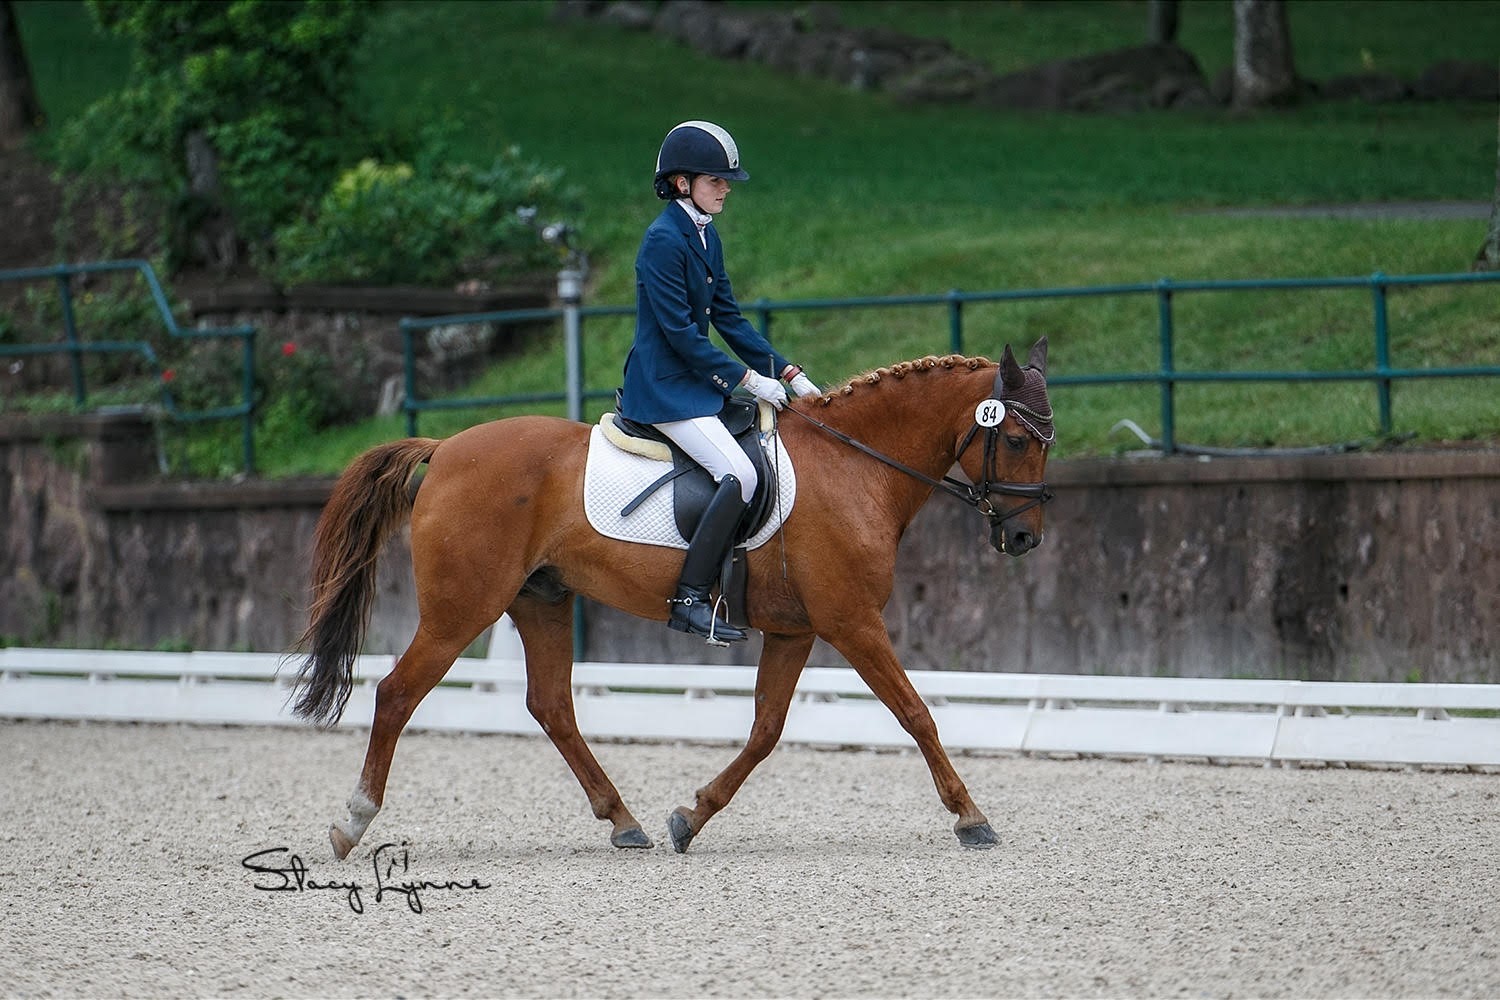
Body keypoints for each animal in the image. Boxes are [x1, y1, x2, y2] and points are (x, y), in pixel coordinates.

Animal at [289, 338, 1054, 859]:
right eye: (1017, 438)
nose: (1024, 537)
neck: (855, 464)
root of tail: (445, 447)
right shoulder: (852, 622)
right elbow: (916, 714)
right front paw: (972, 817)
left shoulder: (797, 630)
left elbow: (766, 730)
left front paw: (691, 817)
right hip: (462, 610)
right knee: (397, 693)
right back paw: (351, 823)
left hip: (541, 599)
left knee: (552, 707)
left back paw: (624, 822)